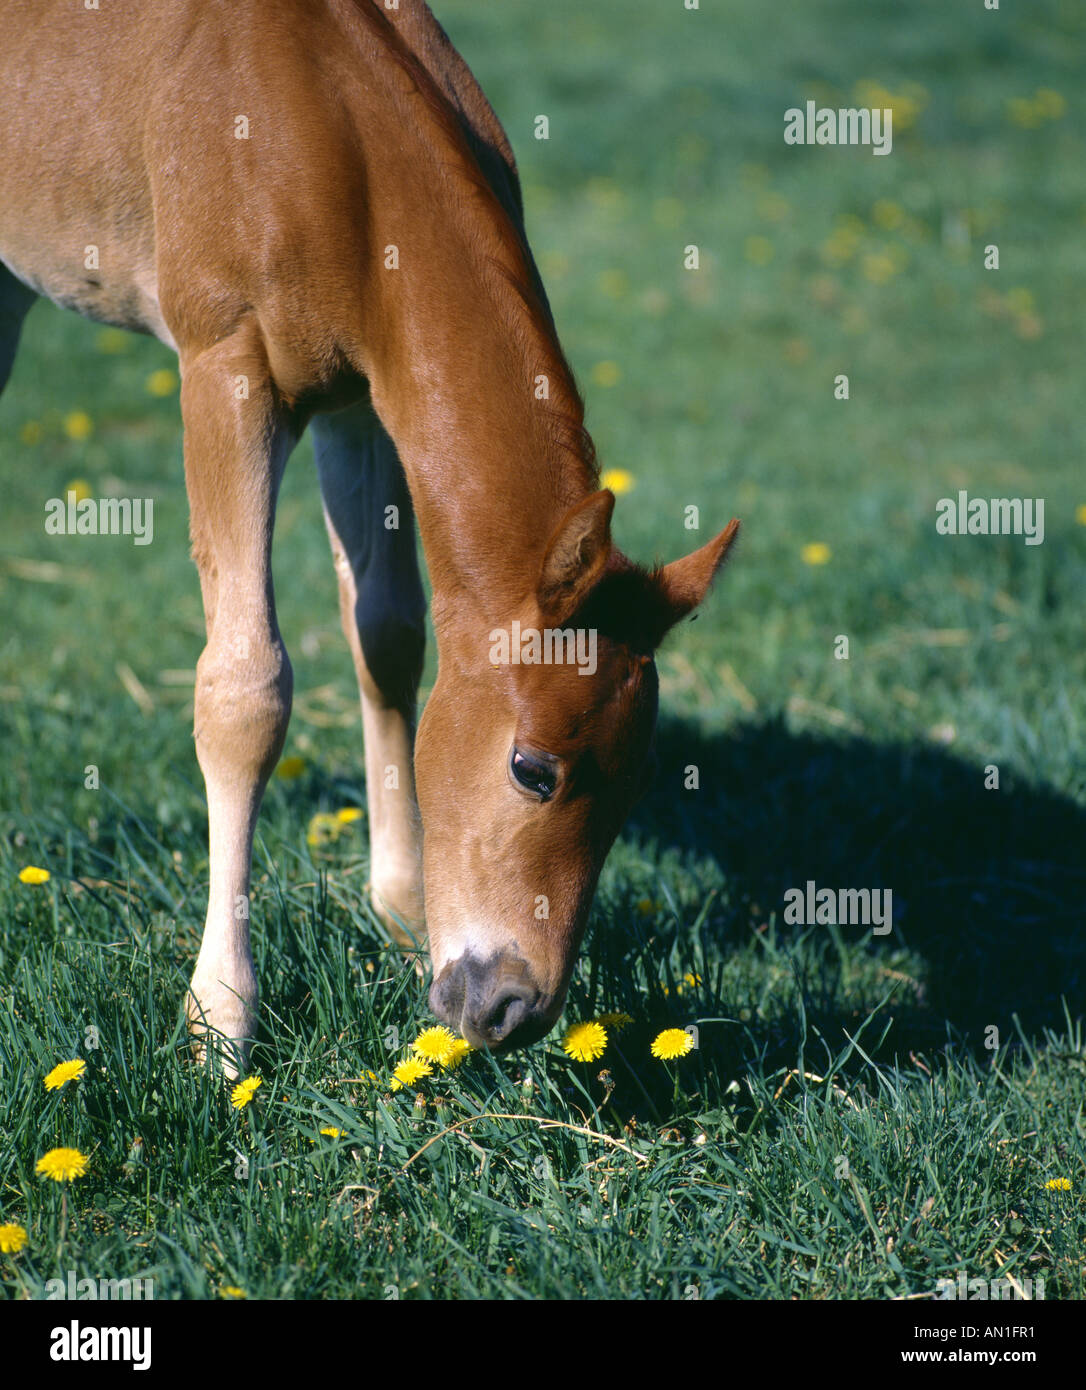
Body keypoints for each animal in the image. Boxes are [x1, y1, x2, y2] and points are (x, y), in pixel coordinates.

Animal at [0, 0, 738, 1072]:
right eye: (532, 768)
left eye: (640, 783)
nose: (512, 1011)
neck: (326, 117)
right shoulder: (225, 370)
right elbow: (245, 691)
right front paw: (220, 1015)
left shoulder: (362, 397)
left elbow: (386, 632)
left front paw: (399, 911)